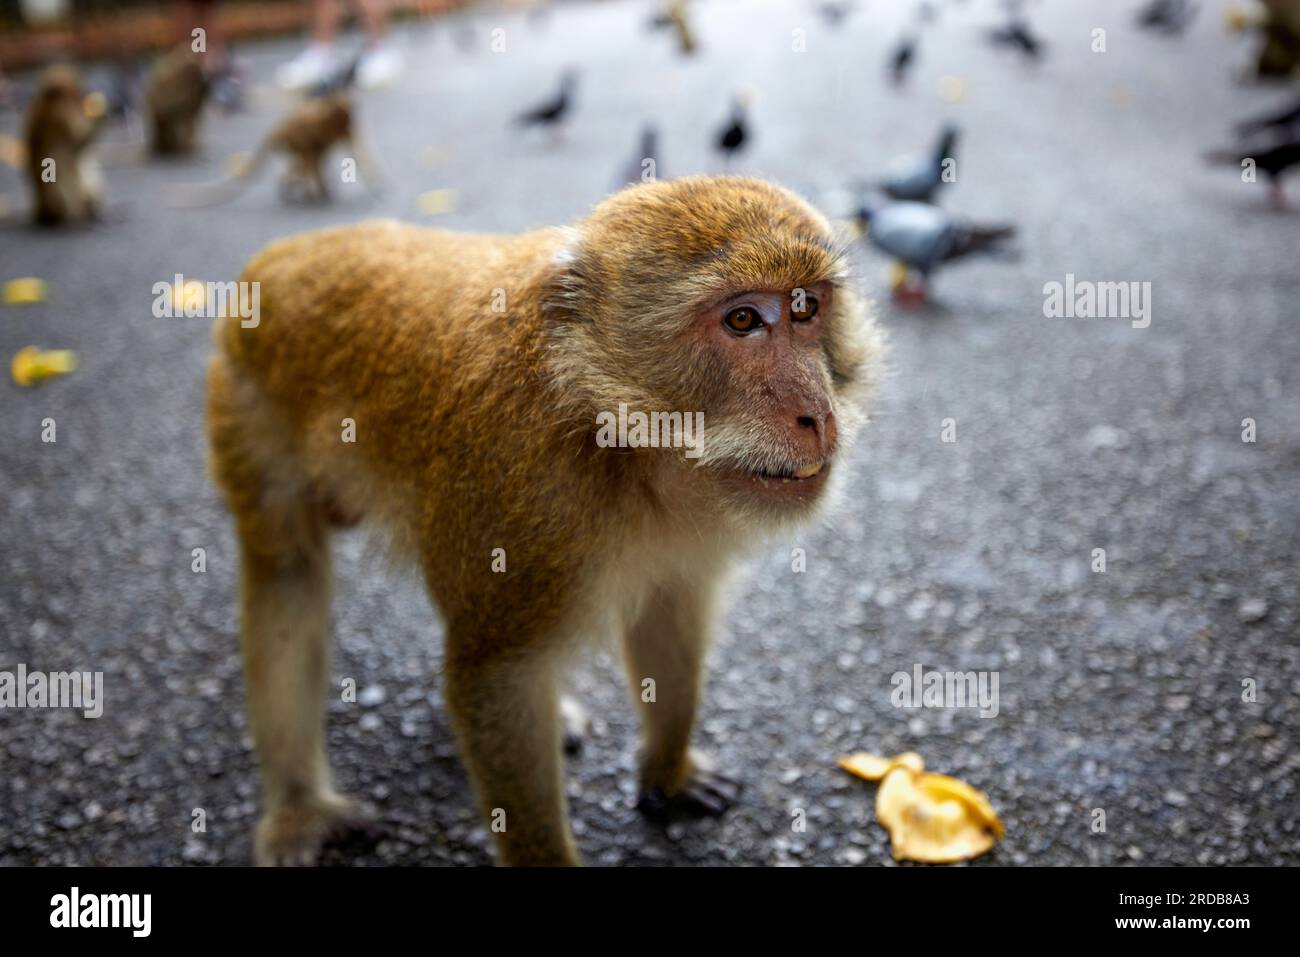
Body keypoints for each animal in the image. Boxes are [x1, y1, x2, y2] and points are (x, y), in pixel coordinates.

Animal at [24, 65, 107, 226]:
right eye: (77, 92)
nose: (85, 92)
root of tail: (41, 208)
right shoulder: (61, 119)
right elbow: (77, 144)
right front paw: (101, 114)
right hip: (59, 198)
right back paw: (72, 216)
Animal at [170, 92, 379, 207]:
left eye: (350, 109)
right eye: (345, 108)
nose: (350, 117)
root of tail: (277, 129)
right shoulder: (331, 125)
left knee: (310, 155)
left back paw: (297, 185)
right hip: (293, 136)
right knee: (309, 153)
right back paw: (301, 187)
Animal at [206, 176, 885, 866]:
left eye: (805, 308)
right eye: (743, 320)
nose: (817, 414)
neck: (611, 432)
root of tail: (284, 255)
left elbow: (668, 609)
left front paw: (670, 771)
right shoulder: (526, 490)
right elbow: (495, 681)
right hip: (246, 404)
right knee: (286, 575)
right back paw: (298, 807)